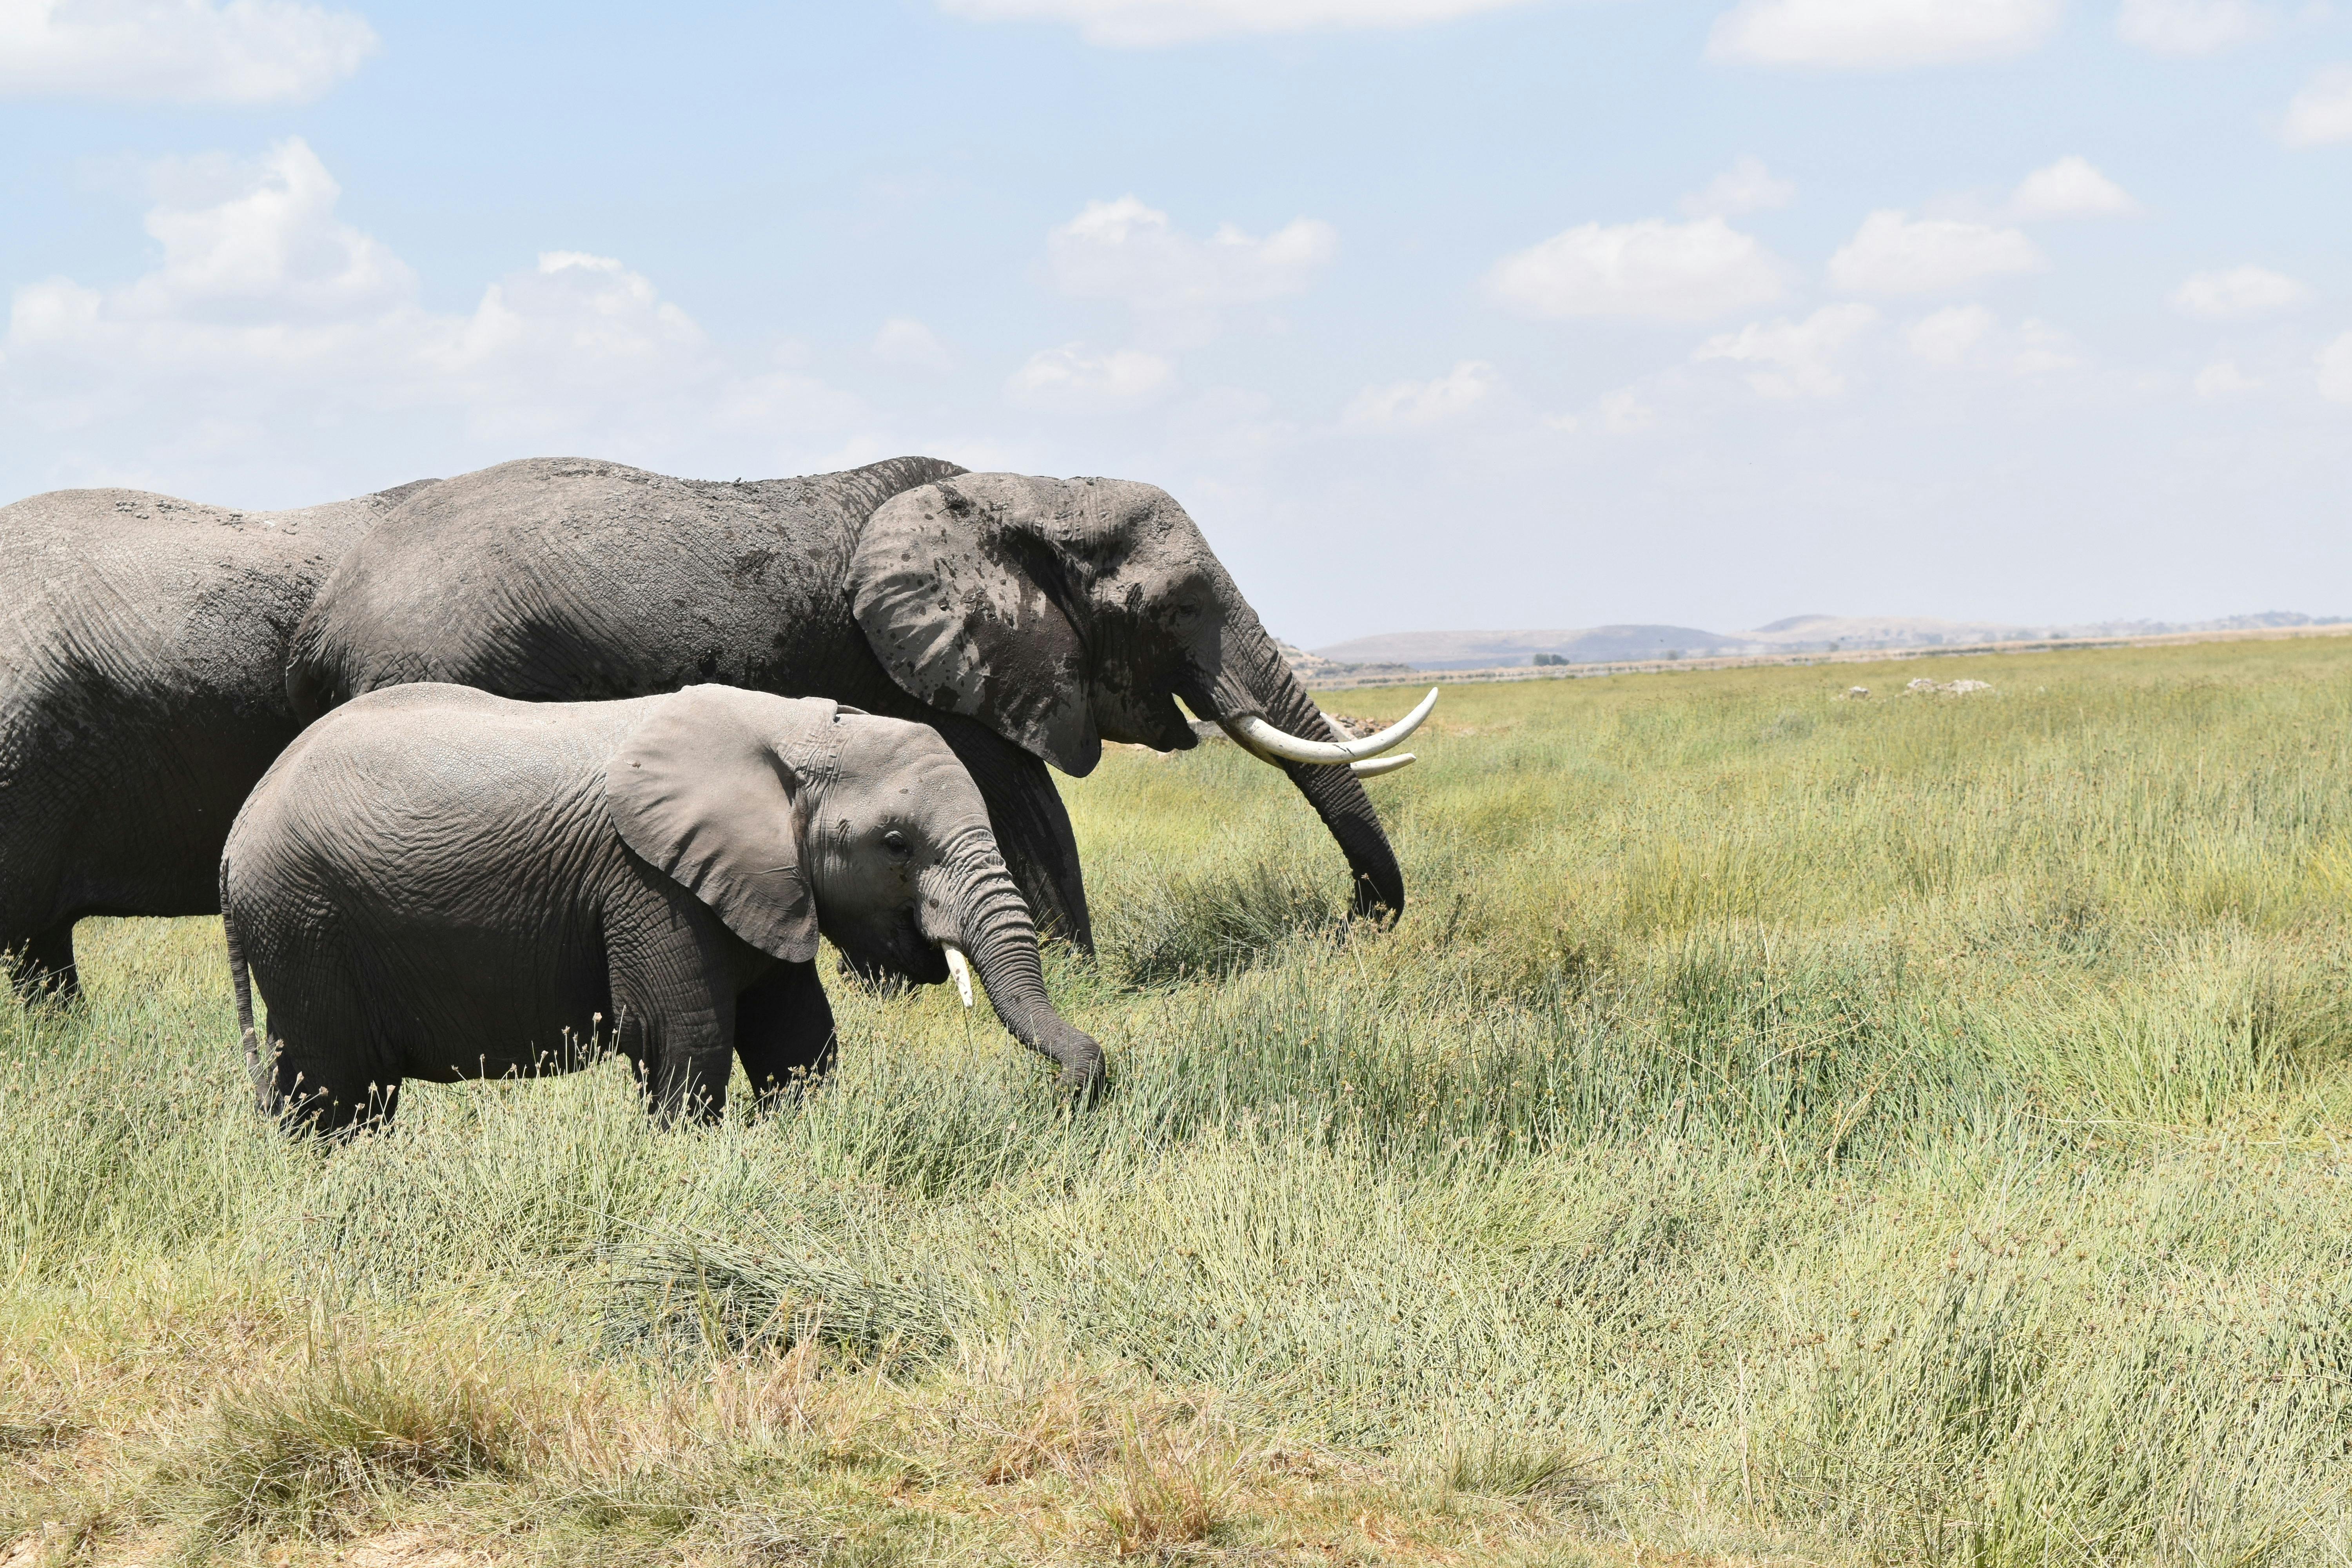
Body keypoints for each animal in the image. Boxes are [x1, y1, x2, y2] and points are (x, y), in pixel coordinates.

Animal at [220, 682, 1105, 1134]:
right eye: (896, 845)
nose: (1068, 1097)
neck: (789, 730)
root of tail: (237, 831)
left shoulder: (756, 880)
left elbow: (798, 1037)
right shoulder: (648, 881)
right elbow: (684, 1030)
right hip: (302, 912)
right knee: (332, 1080)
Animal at [283, 458, 1430, 953]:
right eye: (1179, 604)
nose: (1356, 923)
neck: (1023, 489)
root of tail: (332, 608)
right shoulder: (932, 666)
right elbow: (1026, 806)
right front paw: (1078, 969)